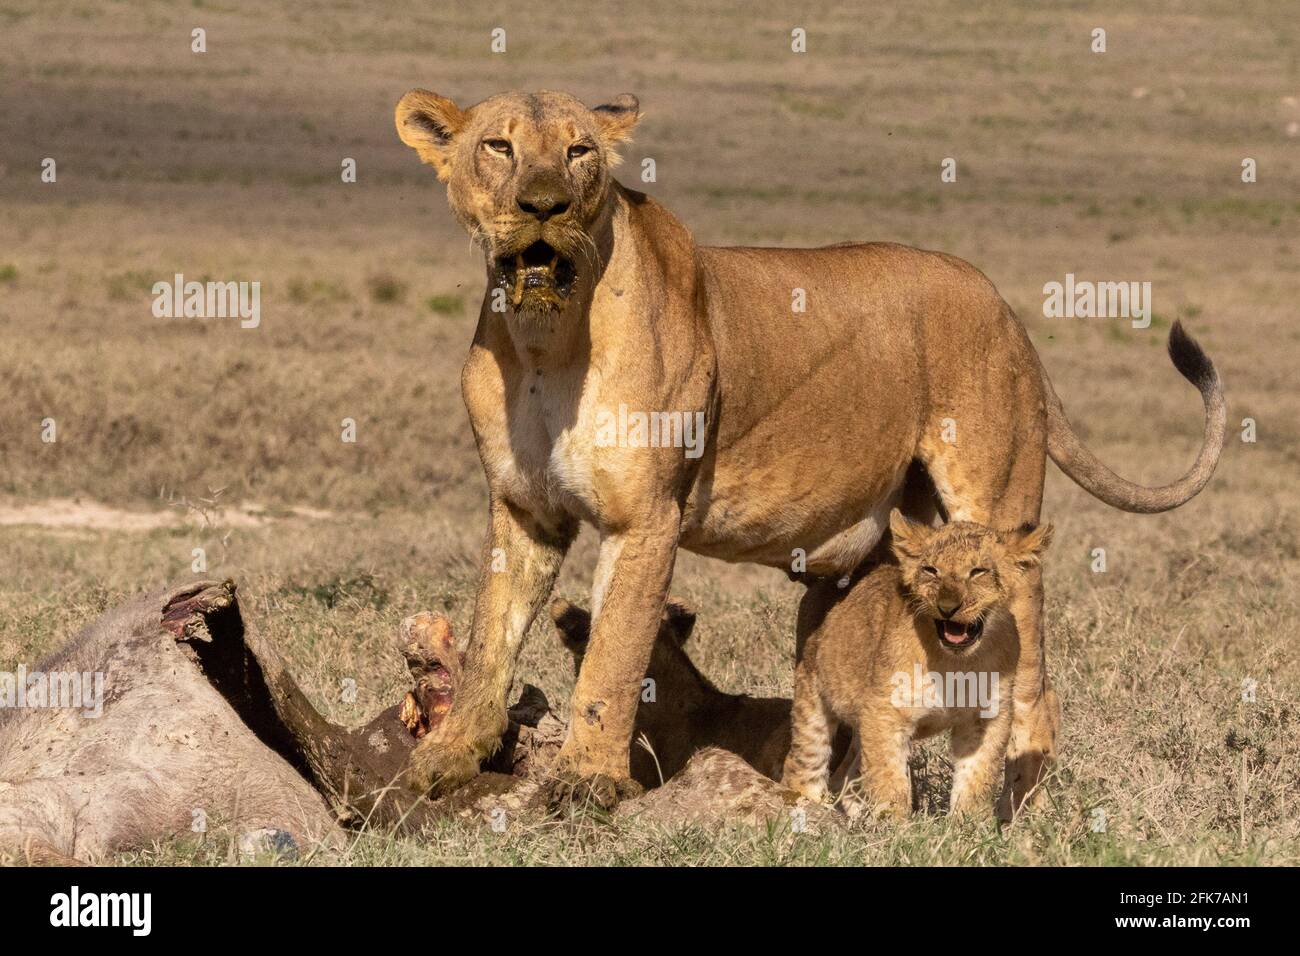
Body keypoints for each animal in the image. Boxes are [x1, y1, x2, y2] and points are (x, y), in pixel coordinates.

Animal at [784, 510, 1052, 820]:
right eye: (931, 570)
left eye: (978, 571)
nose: (948, 607)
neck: (956, 664)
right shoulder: (884, 710)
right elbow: (889, 778)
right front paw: (895, 826)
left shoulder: (986, 716)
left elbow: (977, 776)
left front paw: (969, 824)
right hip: (812, 697)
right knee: (803, 765)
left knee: (846, 776)